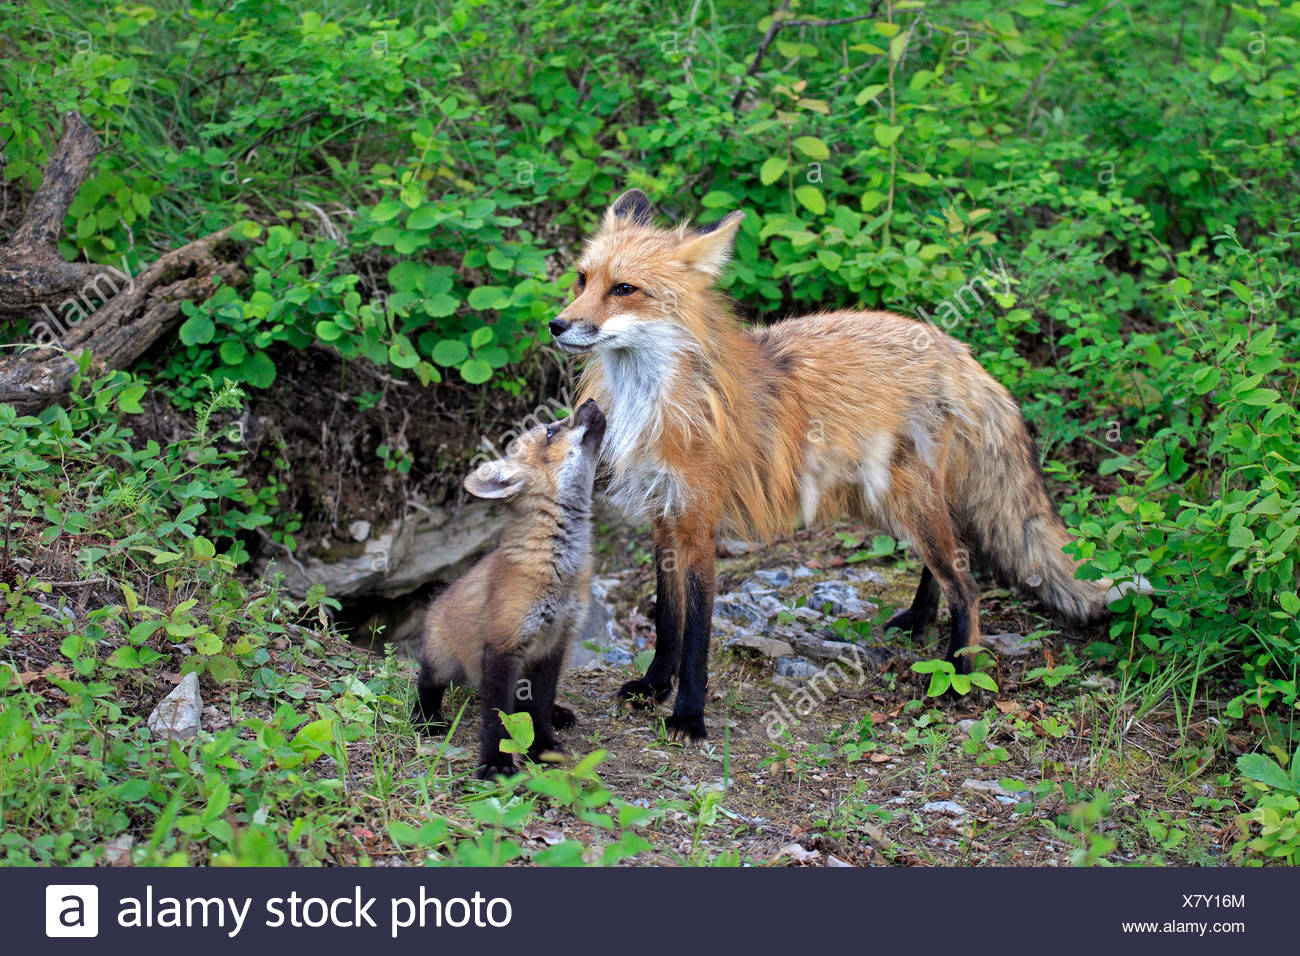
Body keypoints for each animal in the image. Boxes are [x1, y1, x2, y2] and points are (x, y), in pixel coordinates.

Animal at [410, 398, 606, 778]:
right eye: (551, 431)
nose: (589, 401)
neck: (558, 570)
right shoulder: (503, 644)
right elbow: (497, 717)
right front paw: (496, 763)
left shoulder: (554, 645)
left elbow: (538, 709)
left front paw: (543, 748)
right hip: (444, 659)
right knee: (427, 680)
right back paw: (426, 718)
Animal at [550, 188, 1144, 741]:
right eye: (582, 279)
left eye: (624, 289)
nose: (557, 324)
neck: (657, 402)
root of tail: (958, 350)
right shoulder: (664, 518)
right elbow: (668, 621)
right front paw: (654, 686)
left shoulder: (697, 523)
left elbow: (696, 634)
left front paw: (689, 716)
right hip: (894, 501)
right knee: (948, 562)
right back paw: (921, 622)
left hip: (901, 498)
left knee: (968, 582)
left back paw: (959, 675)